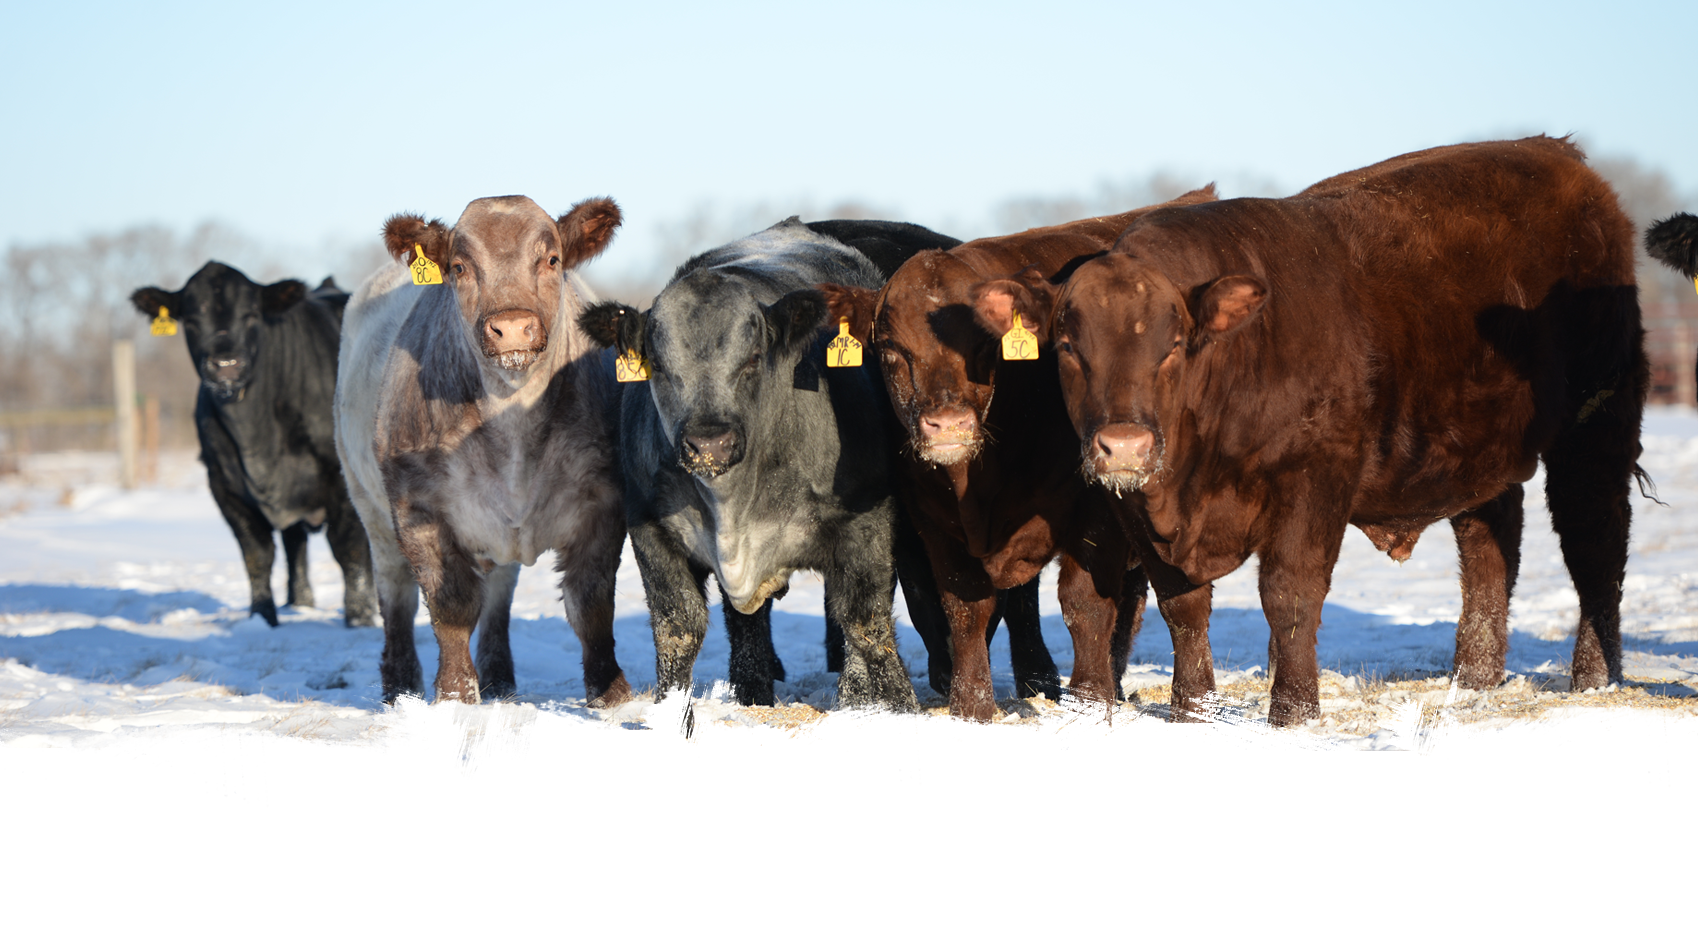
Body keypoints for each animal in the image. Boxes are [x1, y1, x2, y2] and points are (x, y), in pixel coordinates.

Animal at [131, 263, 377, 631]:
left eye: (251, 315)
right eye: (190, 320)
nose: (225, 364)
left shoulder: (342, 476)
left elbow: (349, 549)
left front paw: (360, 619)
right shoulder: (223, 484)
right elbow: (256, 554)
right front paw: (262, 617)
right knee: (294, 544)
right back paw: (300, 603)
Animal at [335, 195, 628, 707]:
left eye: (552, 259)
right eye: (459, 267)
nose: (511, 328)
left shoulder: (603, 500)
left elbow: (591, 601)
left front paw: (611, 694)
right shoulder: (419, 508)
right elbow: (450, 604)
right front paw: (456, 696)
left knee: (498, 593)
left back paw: (499, 679)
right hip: (370, 506)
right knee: (396, 593)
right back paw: (400, 687)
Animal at [579, 217, 959, 738]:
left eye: (753, 359)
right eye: (659, 365)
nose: (709, 443)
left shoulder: (866, 521)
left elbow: (866, 620)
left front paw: (899, 709)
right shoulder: (649, 527)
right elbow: (678, 628)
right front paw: (668, 724)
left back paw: (857, 696)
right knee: (747, 622)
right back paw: (751, 688)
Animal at [816, 188, 1219, 727]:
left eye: (985, 346)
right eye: (891, 350)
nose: (947, 424)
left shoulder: (1095, 510)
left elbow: (1084, 604)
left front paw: (1090, 705)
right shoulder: (931, 522)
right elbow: (961, 607)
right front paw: (970, 708)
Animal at [979, 136, 1647, 727]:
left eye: (1173, 344)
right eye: (1067, 346)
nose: (1124, 445)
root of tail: (1562, 156)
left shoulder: (1314, 478)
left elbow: (1289, 595)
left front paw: (1292, 713)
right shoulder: (1140, 510)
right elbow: (1183, 607)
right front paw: (1192, 714)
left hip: (1597, 427)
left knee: (1596, 541)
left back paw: (1594, 677)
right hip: (1474, 450)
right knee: (1488, 544)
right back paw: (1475, 676)